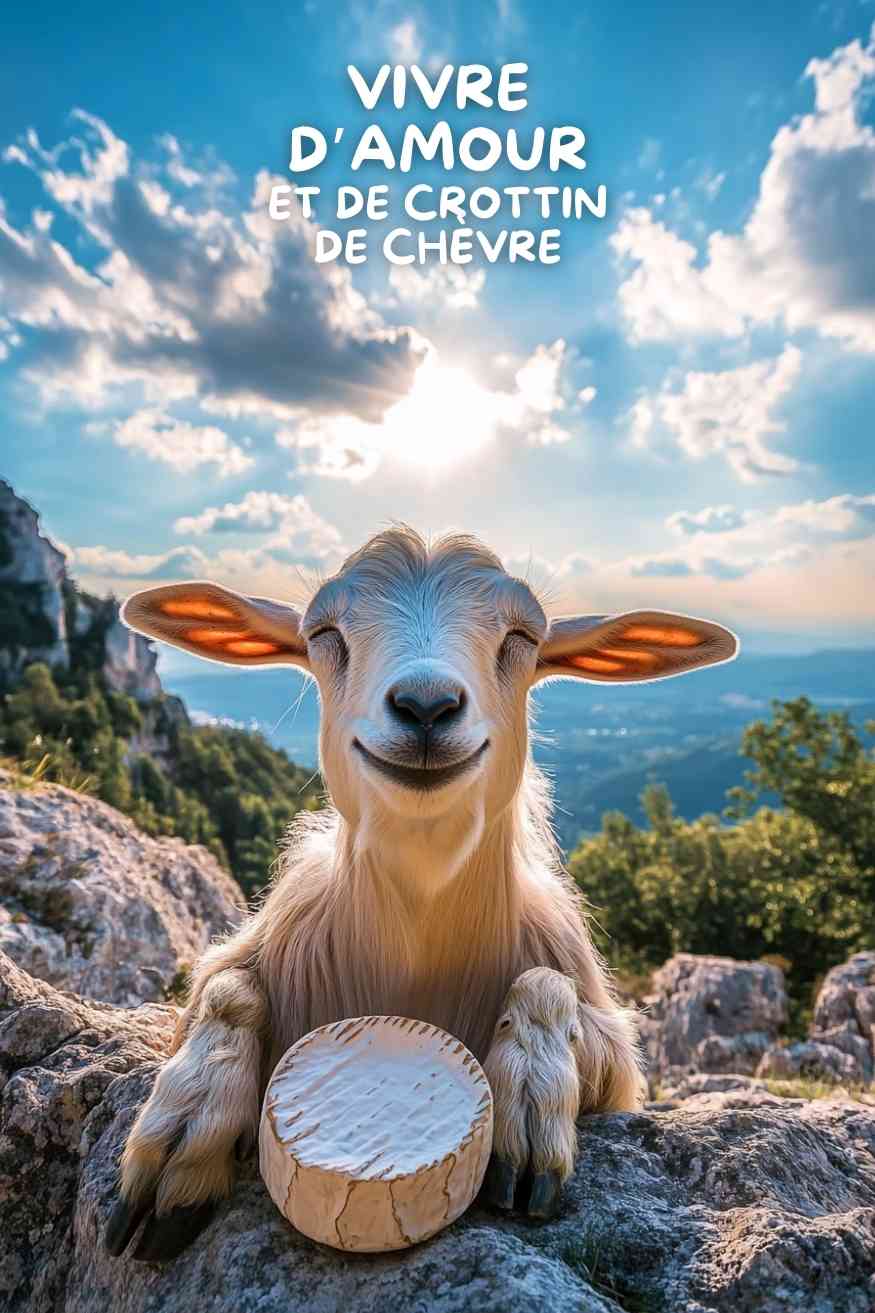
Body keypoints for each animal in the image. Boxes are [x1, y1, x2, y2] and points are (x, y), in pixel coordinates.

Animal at [106, 526, 737, 1261]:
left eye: (522, 635)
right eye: (323, 632)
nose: (426, 706)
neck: (413, 944)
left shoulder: (616, 1063)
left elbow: (544, 985)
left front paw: (528, 1107)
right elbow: (229, 992)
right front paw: (184, 1132)